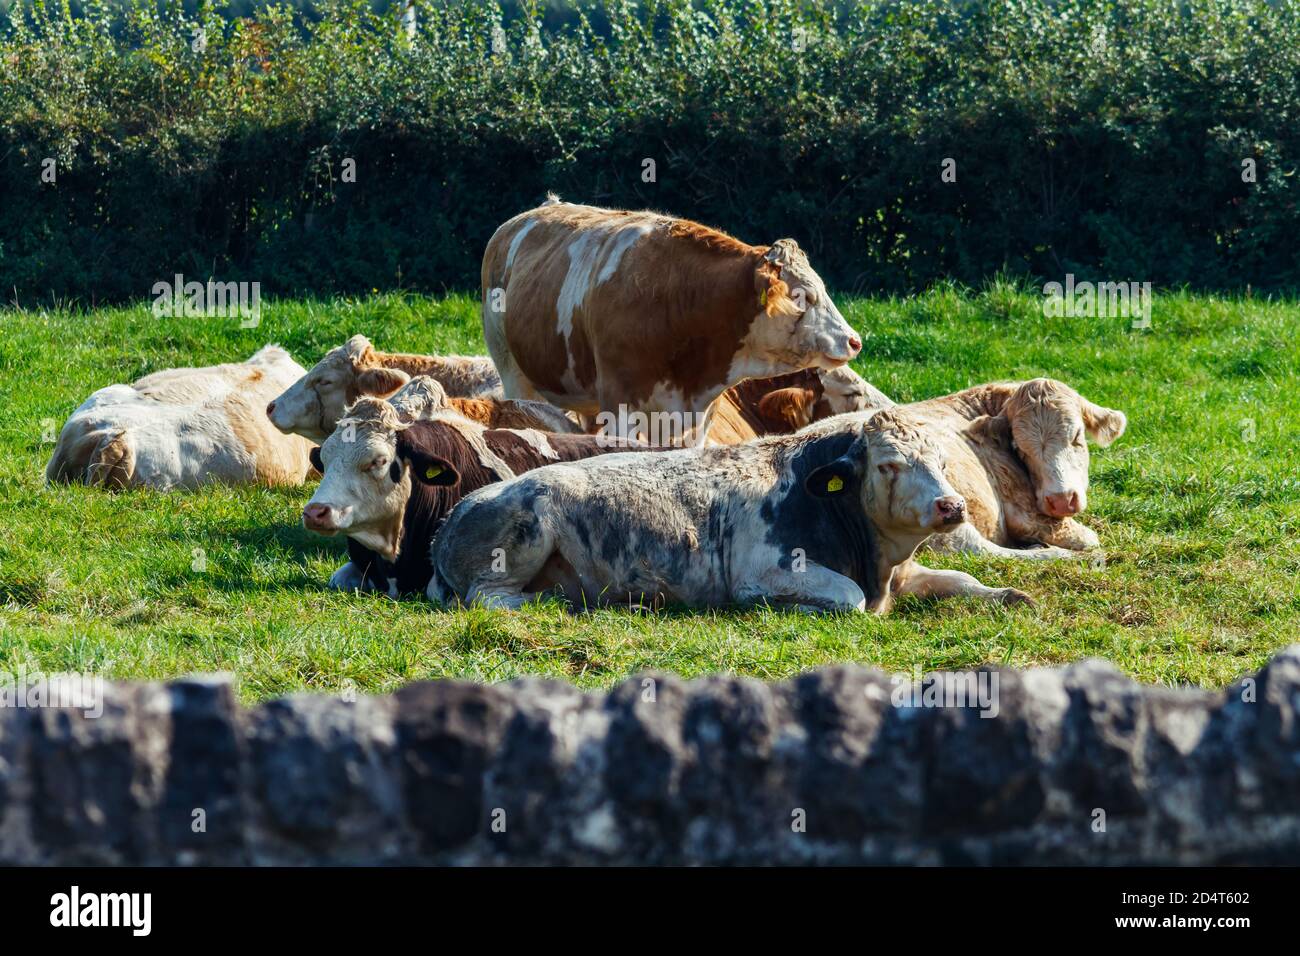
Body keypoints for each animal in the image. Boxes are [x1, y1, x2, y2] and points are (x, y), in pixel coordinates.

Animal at [427, 407, 1032, 614]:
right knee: (489, 598)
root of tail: (451, 519)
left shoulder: (903, 573)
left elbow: (961, 580)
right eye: (888, 466)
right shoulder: (764, 572)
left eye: (942, 463)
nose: (951, 506)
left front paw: (1009, 594)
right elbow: (850, 599)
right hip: (526, 533)